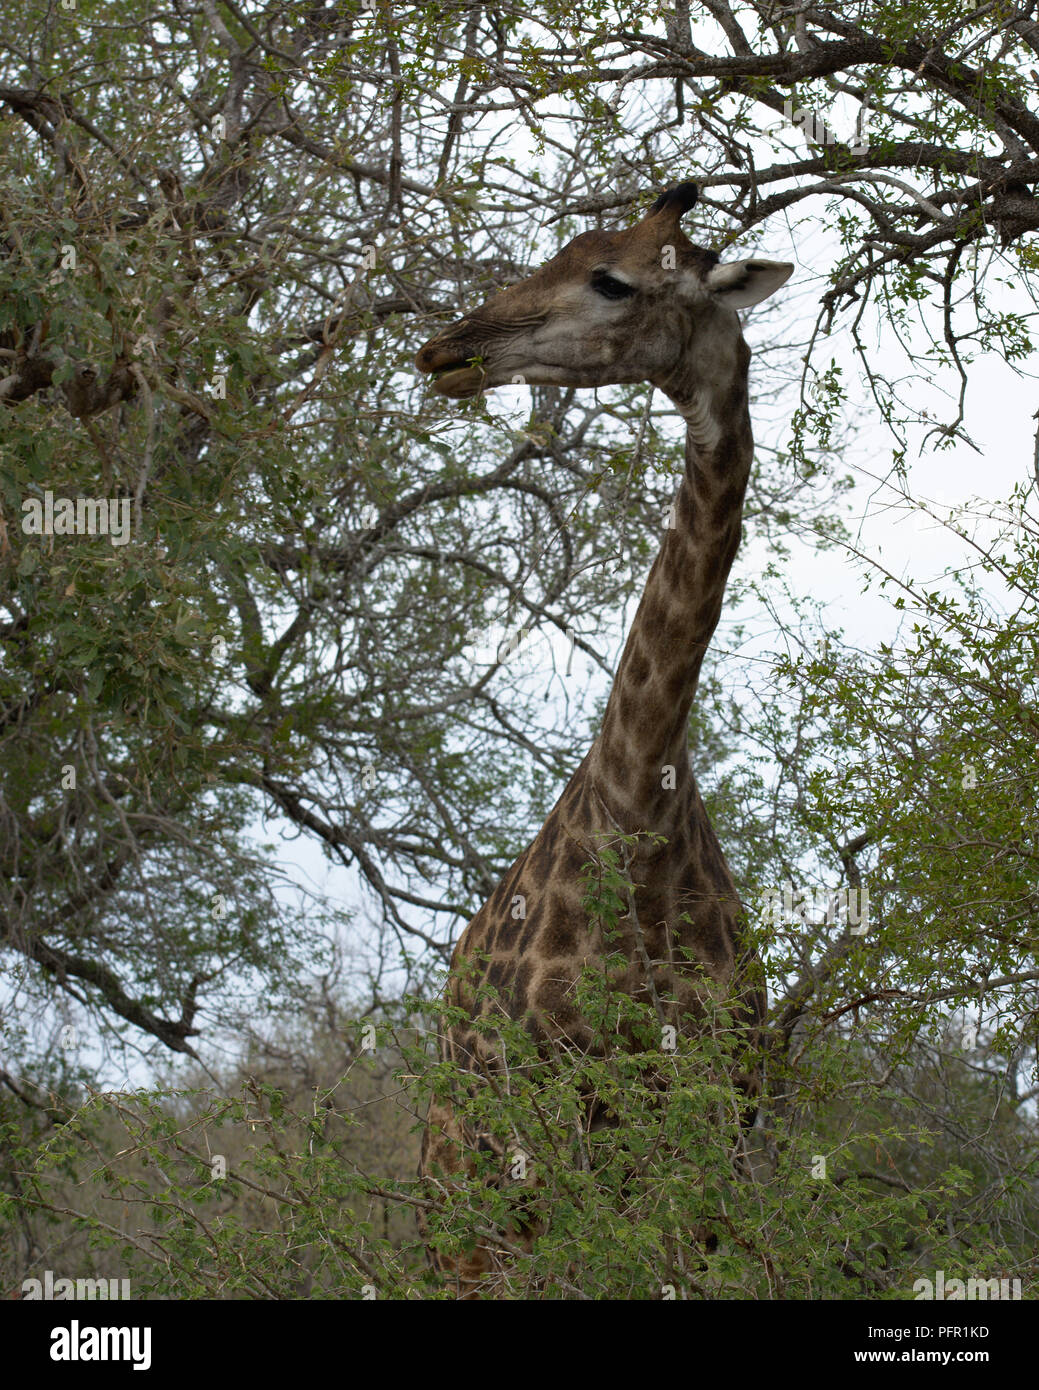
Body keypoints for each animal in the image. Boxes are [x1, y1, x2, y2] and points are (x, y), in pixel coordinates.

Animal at [414, 182, 792, 1295]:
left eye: (612, 280)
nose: (448, 349)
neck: (639, 800)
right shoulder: (556, 1116)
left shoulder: (716, 1125)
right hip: (462, 1190)